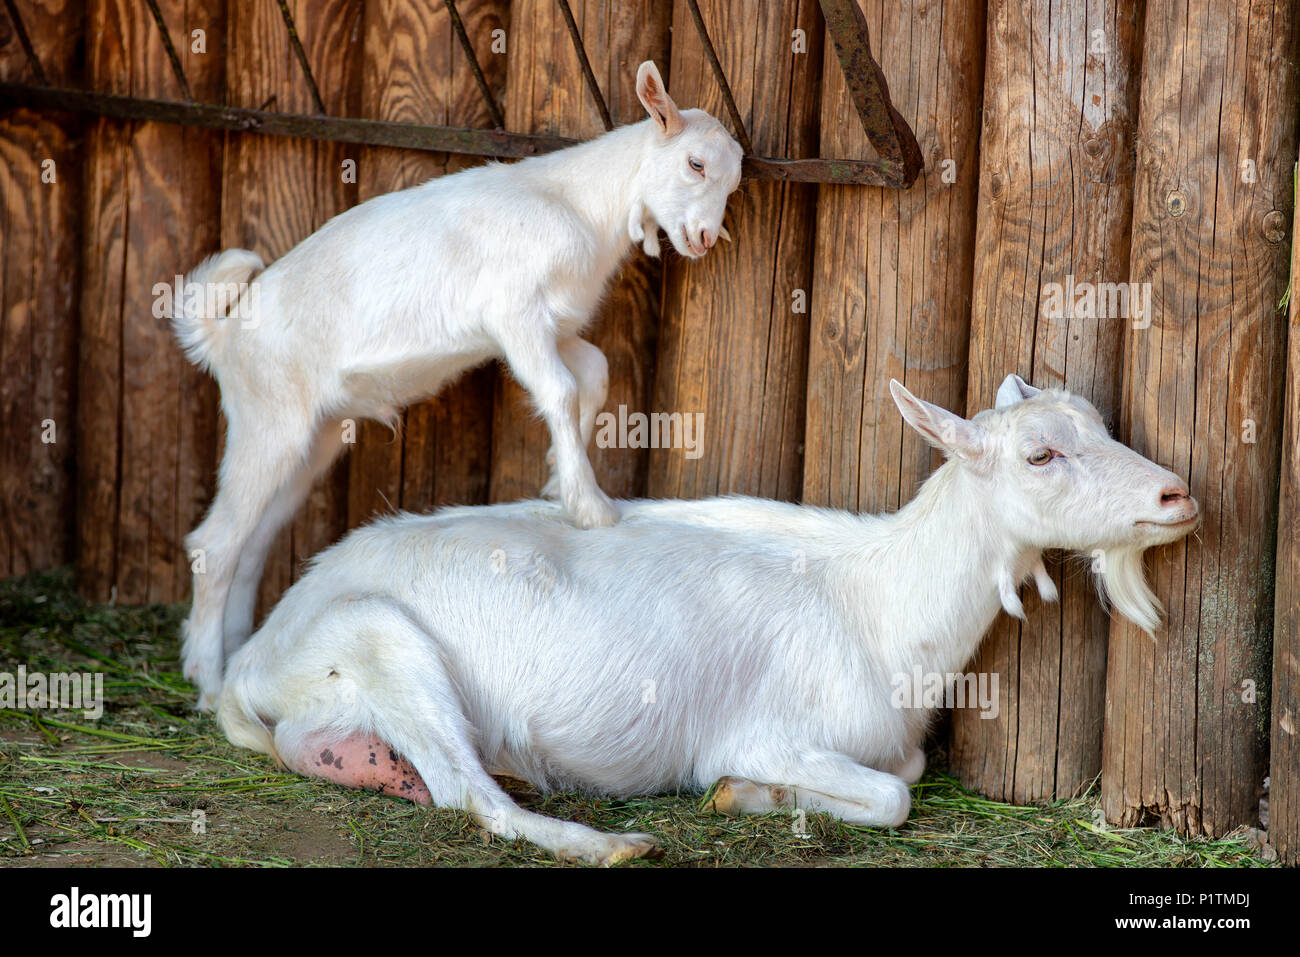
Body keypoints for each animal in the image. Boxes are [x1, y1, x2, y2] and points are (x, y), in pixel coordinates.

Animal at [171, 61, 744, 708]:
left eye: (734, 181)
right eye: (695, 164)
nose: (703, 237)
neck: (577, 203)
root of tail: (223, 336)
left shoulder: (551, 326)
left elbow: (594, 371)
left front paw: (557, 477)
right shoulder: (514, 313)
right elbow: (560, 390)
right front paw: (590, 507)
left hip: (311, 439)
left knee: (253, 543)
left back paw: (236, 655)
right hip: (267, 417)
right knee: (215, 543)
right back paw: (208, 681)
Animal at [216, 375, 1199, 864]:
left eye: (1096, 421)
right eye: (1041, 453)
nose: (1176, 494)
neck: (879, 603)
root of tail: (252, 659)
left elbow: (908, 770)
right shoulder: (769, 729)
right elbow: (892, 794)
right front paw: (742, 793)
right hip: (381, 639)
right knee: (469, 795)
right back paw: (608, 844)